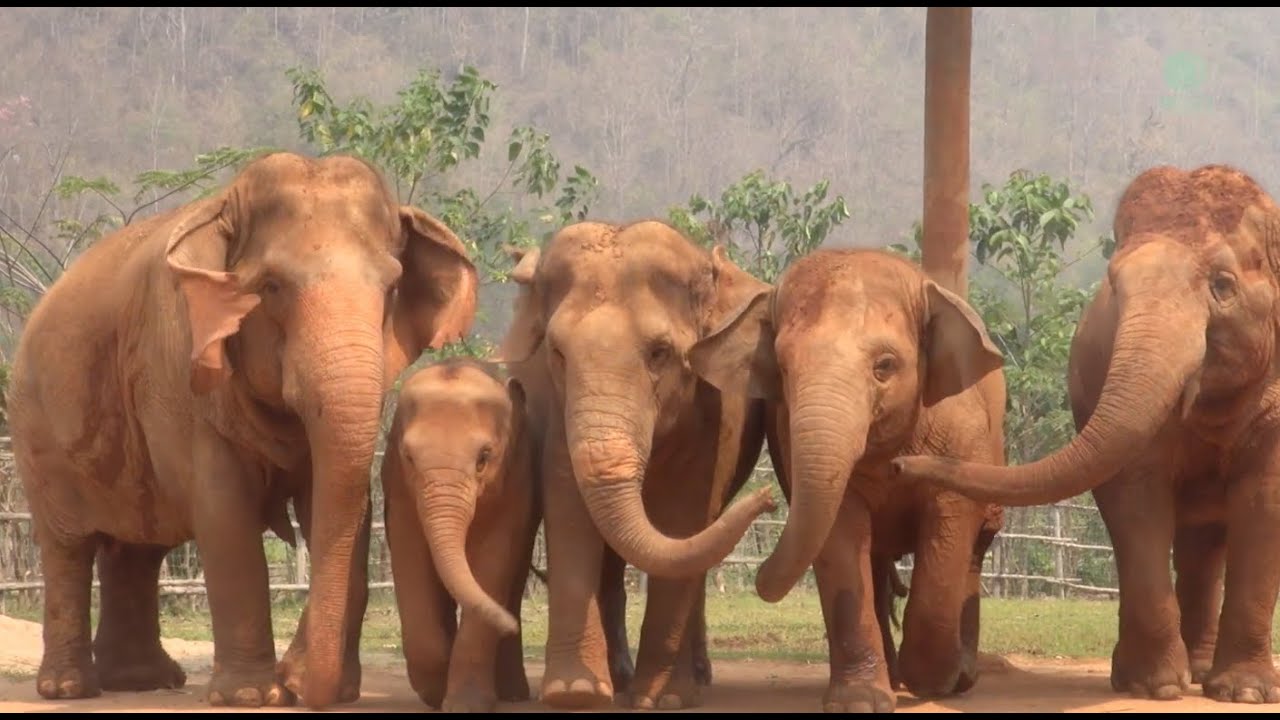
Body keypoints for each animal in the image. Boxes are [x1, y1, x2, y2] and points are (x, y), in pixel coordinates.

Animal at [8, 151, 478, 709]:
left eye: (390, 289)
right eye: (271, 288)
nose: (303, 686)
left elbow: (340, 506)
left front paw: (317, 686)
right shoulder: (179, 372)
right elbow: (224, 511)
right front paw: (253, 695)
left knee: (136, 548)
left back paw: (144, 680)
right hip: (36, 431)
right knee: (68, 547)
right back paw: (69, 688)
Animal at [381, 357, 537, 713]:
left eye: (484, 458)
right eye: (409, 457)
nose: (509, 623)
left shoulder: (515, 483)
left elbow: (494, 560)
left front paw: (466, 704)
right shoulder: (398, 486)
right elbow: (410, 555)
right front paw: (435, 690)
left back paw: (512, 693)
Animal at [492, 221, 777, 710]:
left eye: (661, 352)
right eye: (557, 353)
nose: (770, 498)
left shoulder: (714, 413)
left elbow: (683, 518)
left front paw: (663, 699)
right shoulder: (555, 403)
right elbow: (569, 508)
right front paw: (576, 694)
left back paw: (691, 680)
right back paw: (619, 678)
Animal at [690, 246, 1006, 712]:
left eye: (885, 366)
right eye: (783, 369)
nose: (766, 501)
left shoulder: (959, 430)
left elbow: (949, 525)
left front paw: (934, 683)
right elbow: (838, 536)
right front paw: (860, 702)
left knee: (975, 547)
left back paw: (957, 676)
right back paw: (894, 675)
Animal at [890, 163, 1280, 705]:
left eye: (1223, 285)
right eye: (1116, 287)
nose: (898, 465)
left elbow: (1265, 502)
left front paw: (1246, 694)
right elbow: (1133, 497)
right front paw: (1154, 686)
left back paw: (1205, 675)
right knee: (1198, 542)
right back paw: (1190, 672)